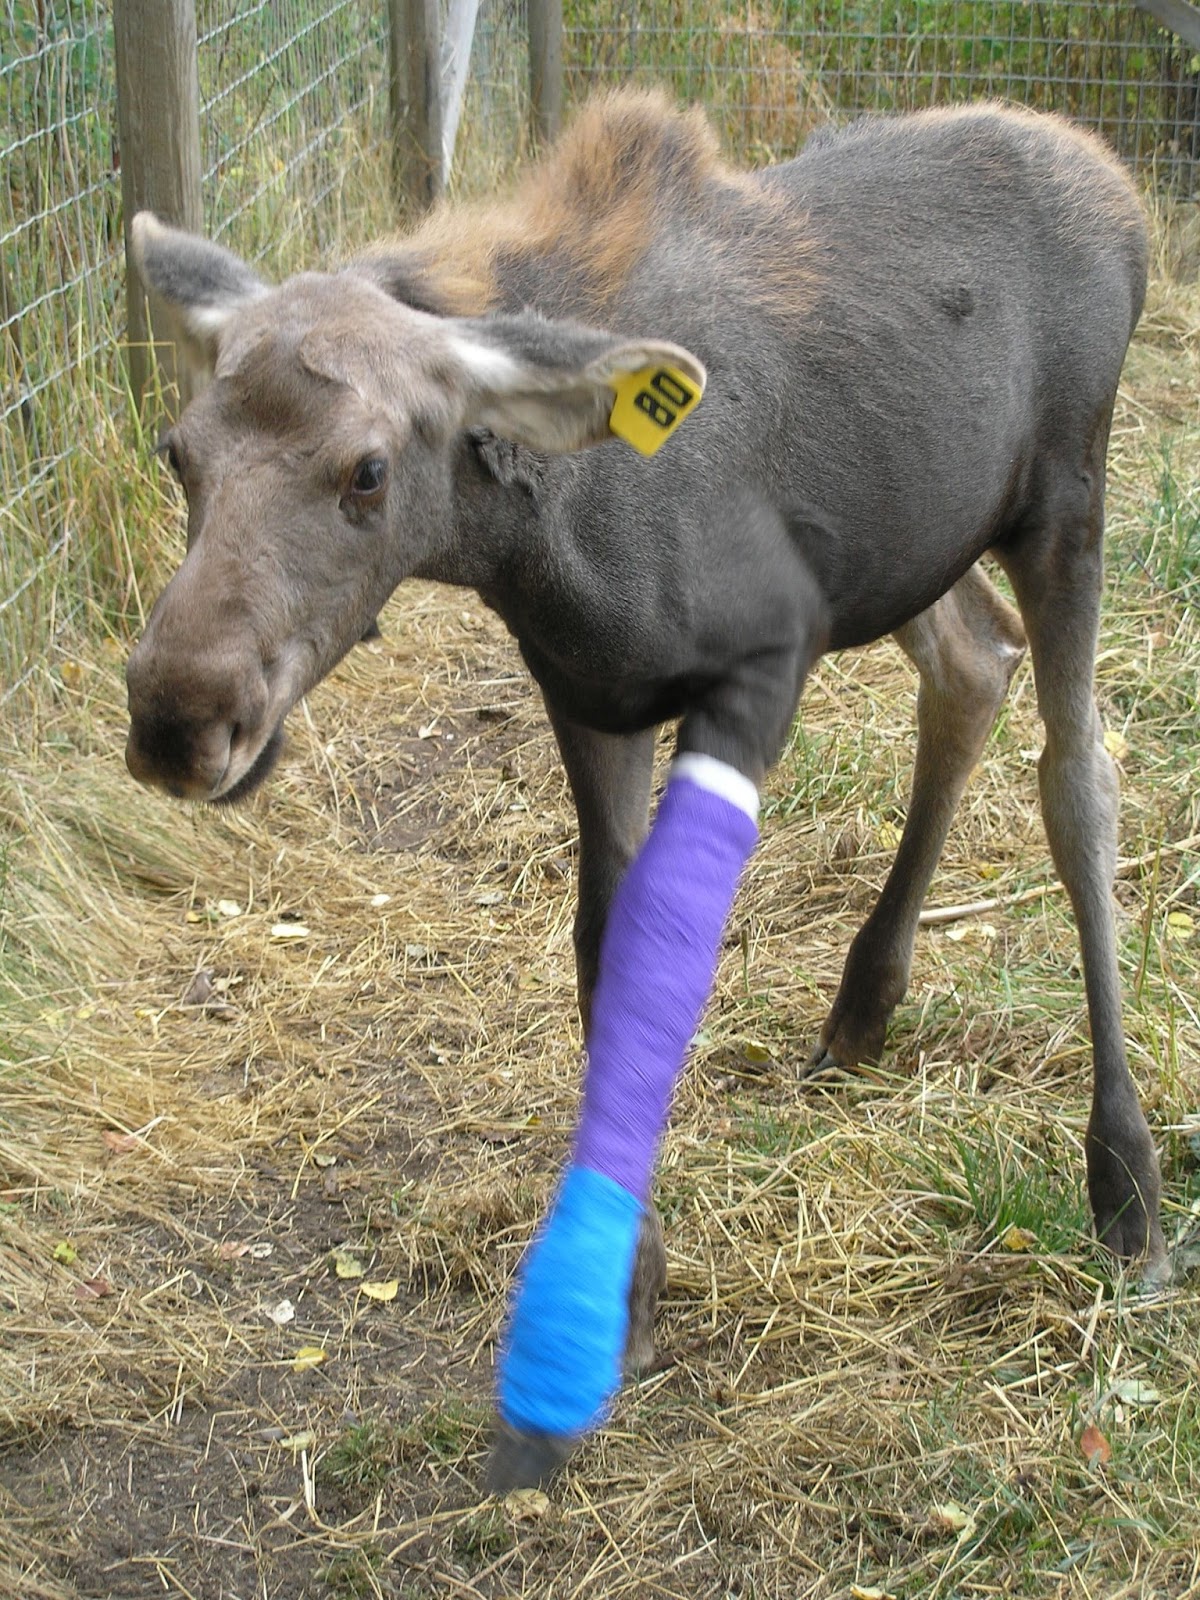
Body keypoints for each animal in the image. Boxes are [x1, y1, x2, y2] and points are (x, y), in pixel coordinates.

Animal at [123, 90, 1167, 1490]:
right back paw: (863, 1006)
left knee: (1079, 775)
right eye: (179, 452)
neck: (548, 536)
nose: (178, 714)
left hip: (1067, 495)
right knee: (970, 662)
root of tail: (1123, 188)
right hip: (910, 544)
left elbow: (674, 944)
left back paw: (1125, 1181)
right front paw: (621, 1289)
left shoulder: (763, 656)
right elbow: (605, 946)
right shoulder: (592, 693)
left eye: (367, 470)